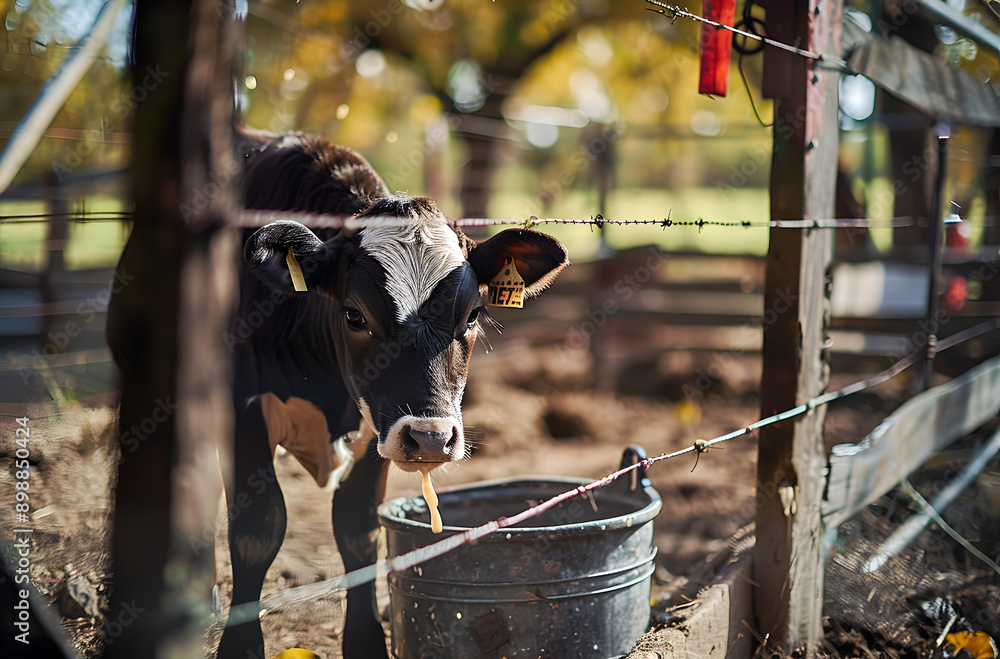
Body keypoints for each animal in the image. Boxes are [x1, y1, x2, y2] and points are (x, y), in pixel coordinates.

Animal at [214, 129, 569, 658]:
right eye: (354, 315)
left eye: (472, 316)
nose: (430, 438)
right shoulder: (242, 410)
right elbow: (257, 529)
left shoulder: (375, 432)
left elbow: (359, 529)